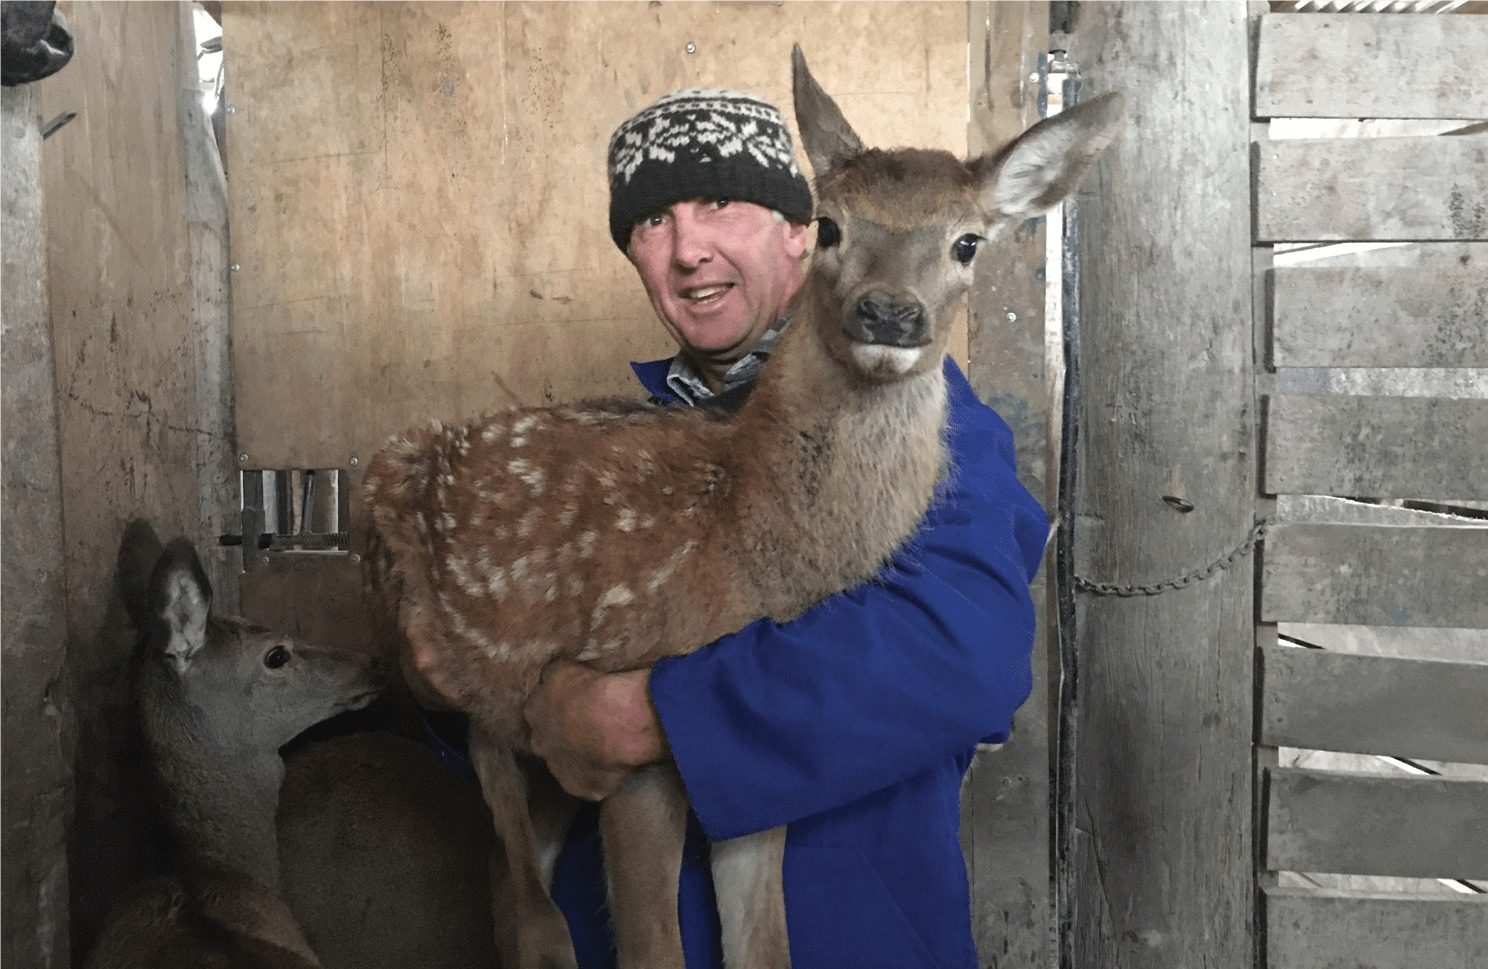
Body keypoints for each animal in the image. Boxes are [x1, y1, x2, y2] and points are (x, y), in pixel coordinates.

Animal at [363, 45, 1121, 969]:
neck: (741, 534)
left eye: (967, 241)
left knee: (519, 890)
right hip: (484, 693)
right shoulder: (621, 720)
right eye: (829, 226)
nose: (889, 312)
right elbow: (654, 950)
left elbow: (764, 943)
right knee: (526, 901)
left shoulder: (745, 785)